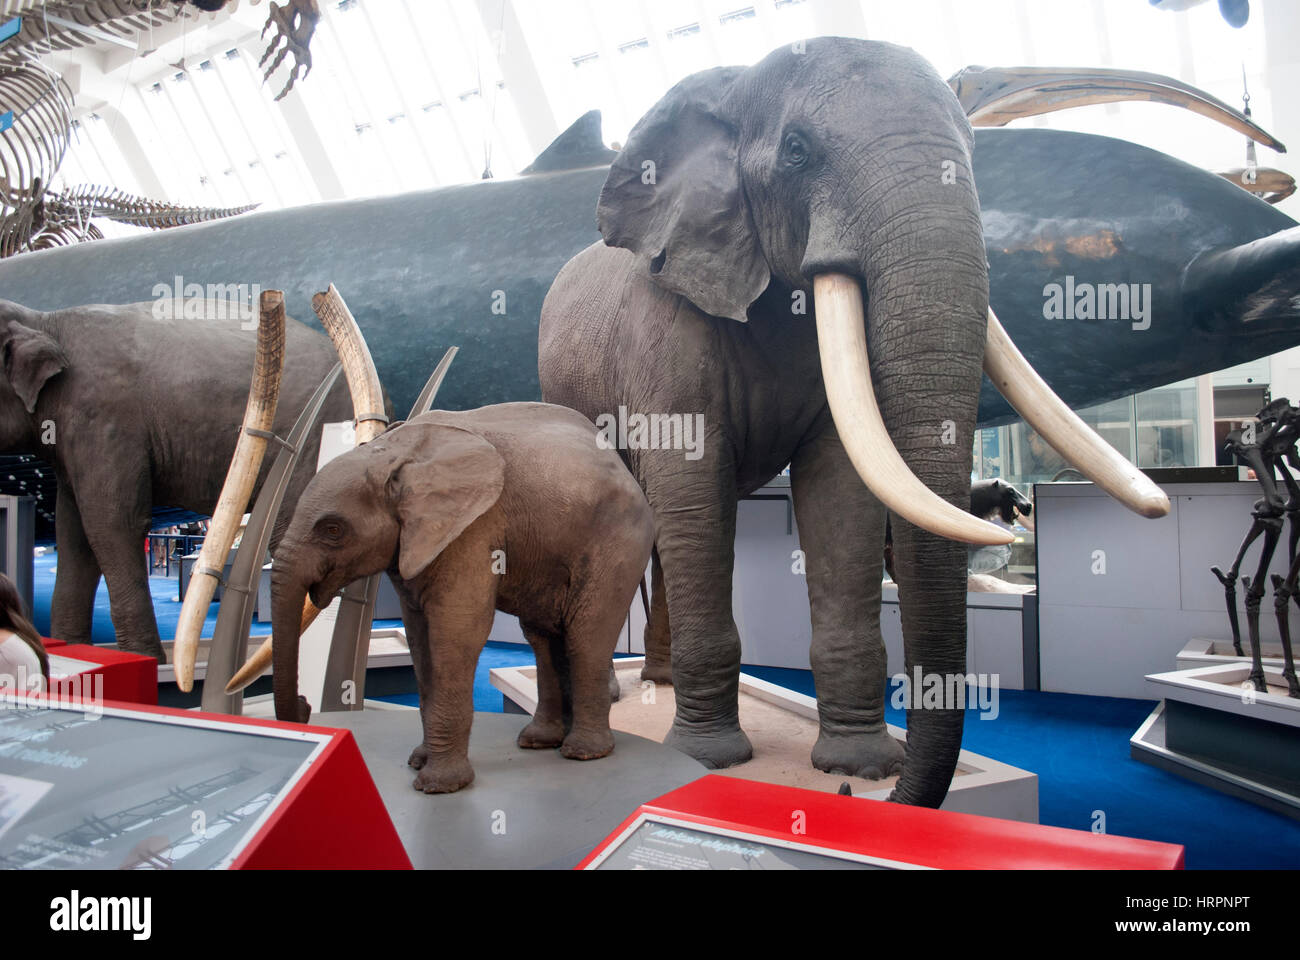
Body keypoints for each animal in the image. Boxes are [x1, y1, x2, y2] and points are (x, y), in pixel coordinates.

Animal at [0, 298, 353, 660]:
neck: (44, 322)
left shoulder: (104, 421)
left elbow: (112, 523)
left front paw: (145, 660)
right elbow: (73, 533)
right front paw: (73, 651)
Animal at [268, 402, 655, 794]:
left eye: (333, 529)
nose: (304, 708)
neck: (394, 453)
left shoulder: (473, 529)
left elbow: (457, 629)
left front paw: (438, 786)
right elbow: (418, 635)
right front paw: (418, 762)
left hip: (618, 542)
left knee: (585, 635)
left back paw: (583, 753)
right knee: (542, 638)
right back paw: (538, 741)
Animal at [539, 38, 1164, 806]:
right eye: (797, 151)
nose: (877, 802)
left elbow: (840, 490)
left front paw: (859, 767)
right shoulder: (666, 331)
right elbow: (695, 489)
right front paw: (710, 762)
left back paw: (655, 681)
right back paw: (617, 701)